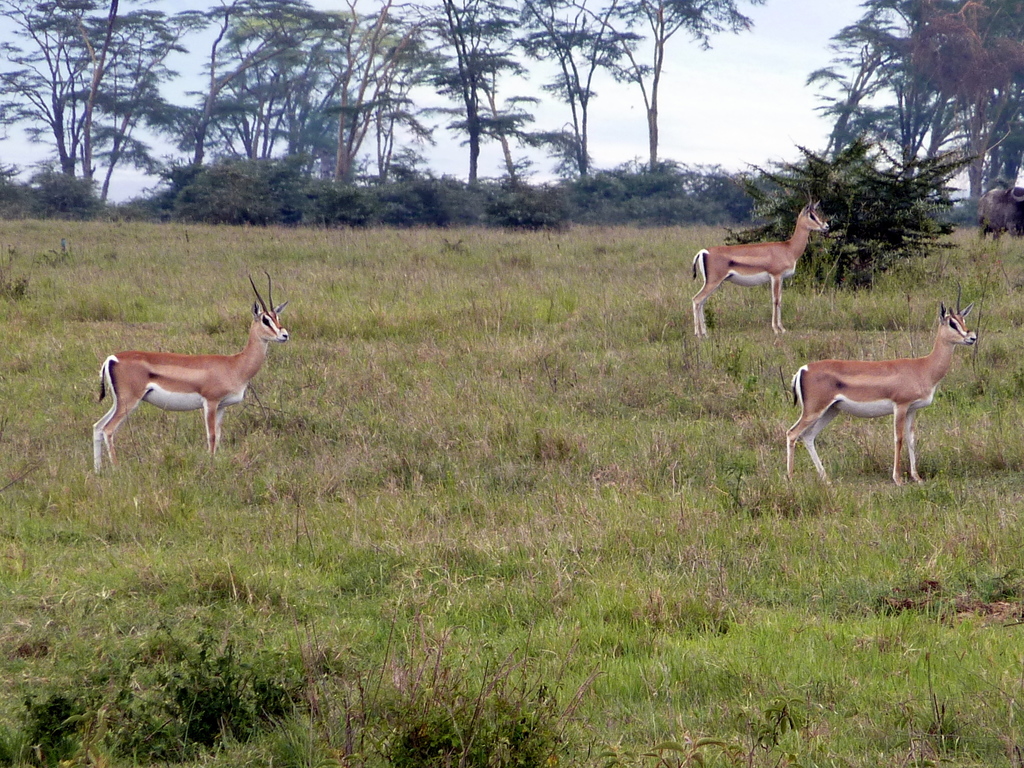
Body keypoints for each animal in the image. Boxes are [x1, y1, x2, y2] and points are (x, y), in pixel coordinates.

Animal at [92, 274, 289, 472]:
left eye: (277, 316)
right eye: (265, 320)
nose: (285, 335)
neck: (235, 365)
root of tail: (112, 358)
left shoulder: (222, 406)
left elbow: (218, 436)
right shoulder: (210, 402)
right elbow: (211, 436)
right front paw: (210, 466)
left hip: (119, 402)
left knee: (97, 427)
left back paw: (98, 470)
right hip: (129, 401)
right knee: (108, 429)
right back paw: (116, 468)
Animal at [691, 202, 828, 337]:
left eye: (816, 213)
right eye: (812, 215)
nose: (826, 226)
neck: (789, 248)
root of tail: (703, 251)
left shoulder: (781, 278)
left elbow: (780, 300)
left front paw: (782, 329)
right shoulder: (775, 276)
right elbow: (775, 300)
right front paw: (776, 329)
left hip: (713, 283)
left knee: (701, 302)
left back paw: (705, 333)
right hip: (713, 282)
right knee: (696, 299)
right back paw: (698, 334)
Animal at [786, 300, 976, 485]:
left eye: (963, 320)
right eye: (952, 323)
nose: (972, 337)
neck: (923, 368)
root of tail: (803, 369)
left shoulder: (912, 409)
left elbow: (911, 439)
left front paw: (917, 477)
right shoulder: (900, 406)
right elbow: (898, 439)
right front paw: (897, 479)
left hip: (831, 410)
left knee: (808, 436)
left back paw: (826, 479)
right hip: (814, 411)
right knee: (792, 433)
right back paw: (791, 478)